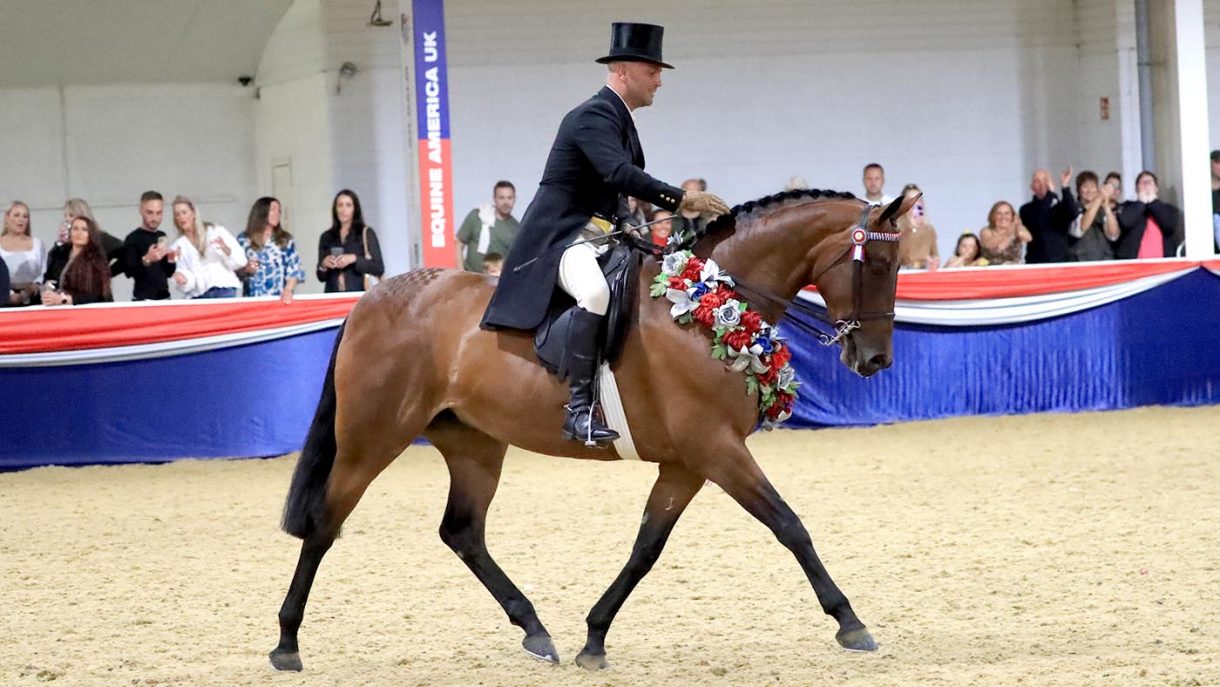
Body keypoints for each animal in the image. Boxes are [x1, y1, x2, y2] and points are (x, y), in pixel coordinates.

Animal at [269, 189, 919, 672]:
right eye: (878, 265)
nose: (875, 360)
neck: (708, 303)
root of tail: (370, 299)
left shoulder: (687, 462)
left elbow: (646, 548)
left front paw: (594, 636)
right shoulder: (716, 449)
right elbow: (790, 525)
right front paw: (851, 622)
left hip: (475, 443)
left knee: (462, 532)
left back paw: (536, 630)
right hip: (373, 438)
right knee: (325, 524)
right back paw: (287, 643)